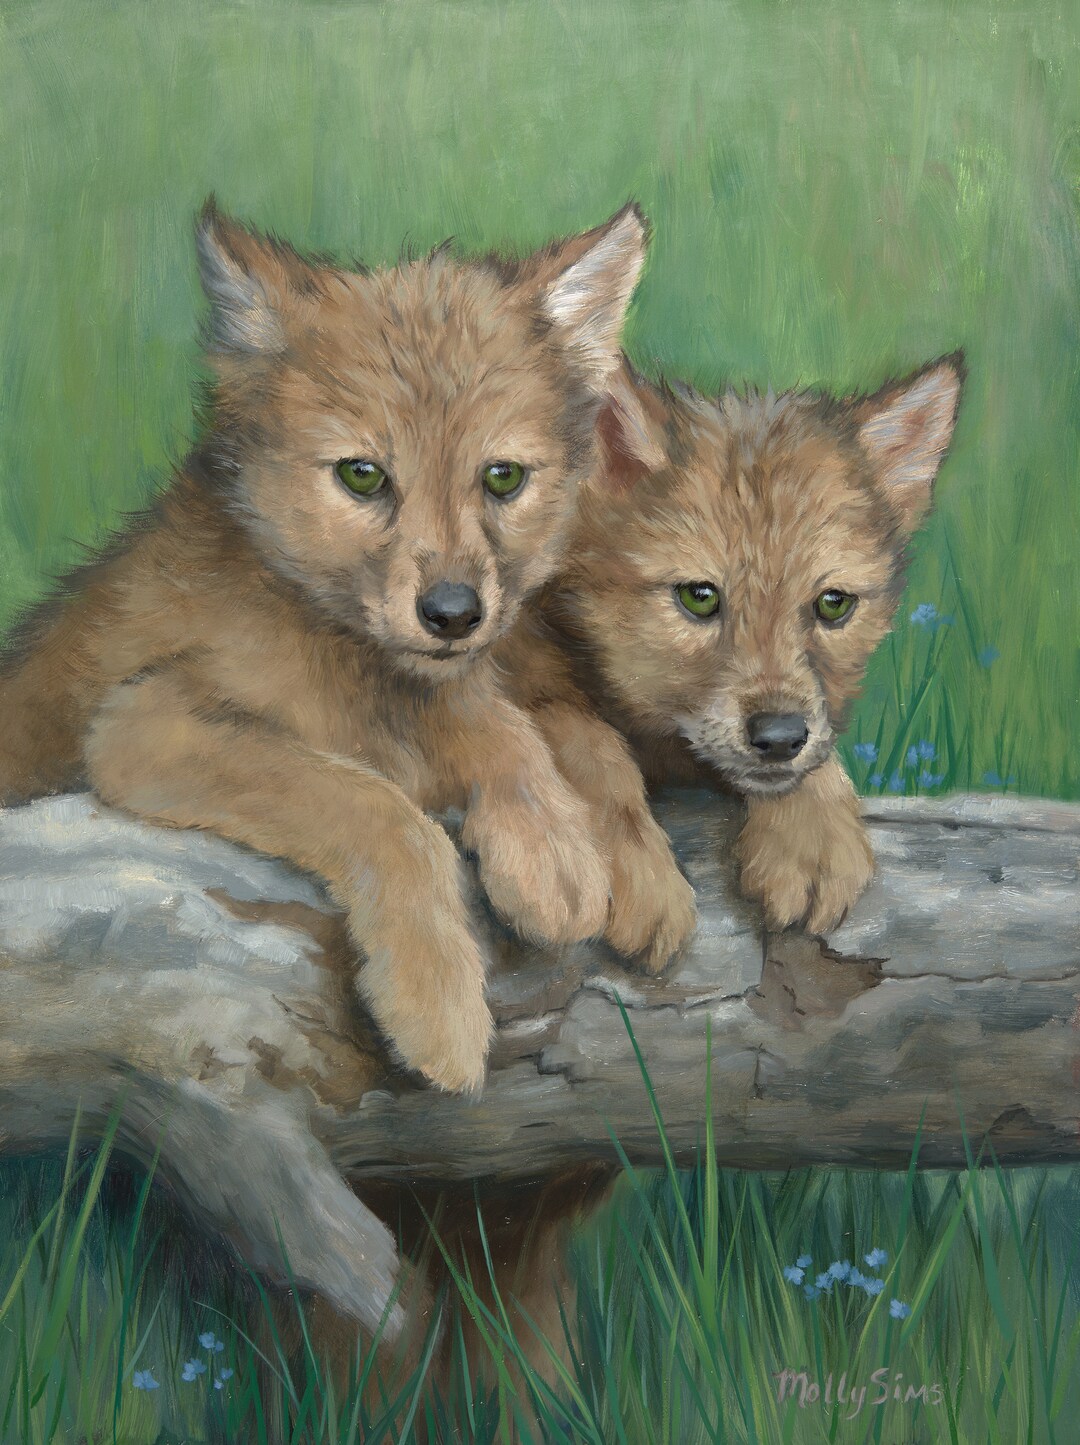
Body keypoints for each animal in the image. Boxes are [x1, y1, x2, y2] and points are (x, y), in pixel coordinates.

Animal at [0, 203, 694, 1093]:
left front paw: (590, 864)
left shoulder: (490, 689)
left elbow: (566, 737)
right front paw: (439, 1009)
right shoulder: (143, 724)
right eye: (363, 476)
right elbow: (382, 809)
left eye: (502, 477)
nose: (452, 613)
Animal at [542, 352, 964, 932]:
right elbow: (585, 742)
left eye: (834, 604)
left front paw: (811, 842)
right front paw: (635, 877)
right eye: (699, 597)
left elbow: (814, 761)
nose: (781, 737)